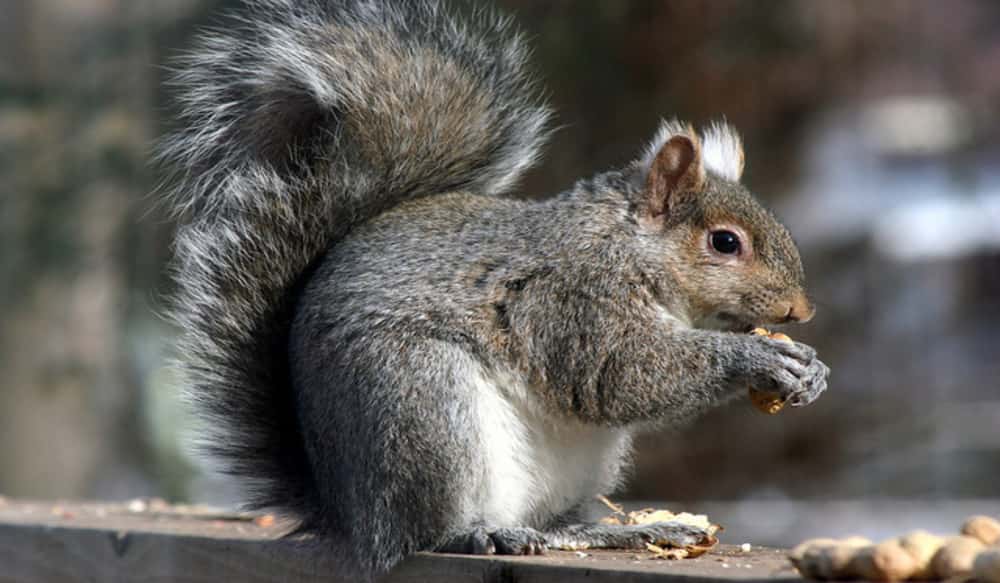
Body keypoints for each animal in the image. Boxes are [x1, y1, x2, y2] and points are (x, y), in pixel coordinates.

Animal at [159, 0, 830, 579]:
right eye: (725, 243)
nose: (800, 311)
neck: (625, 245)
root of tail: (347, 512)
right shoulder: (572, 299)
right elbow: (621, 375)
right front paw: (757, 357)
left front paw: (812, 370)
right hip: (418, 403)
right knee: (424, 531)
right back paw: (480, 532)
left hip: (572, 463)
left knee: (555, 526)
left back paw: (626, 530)